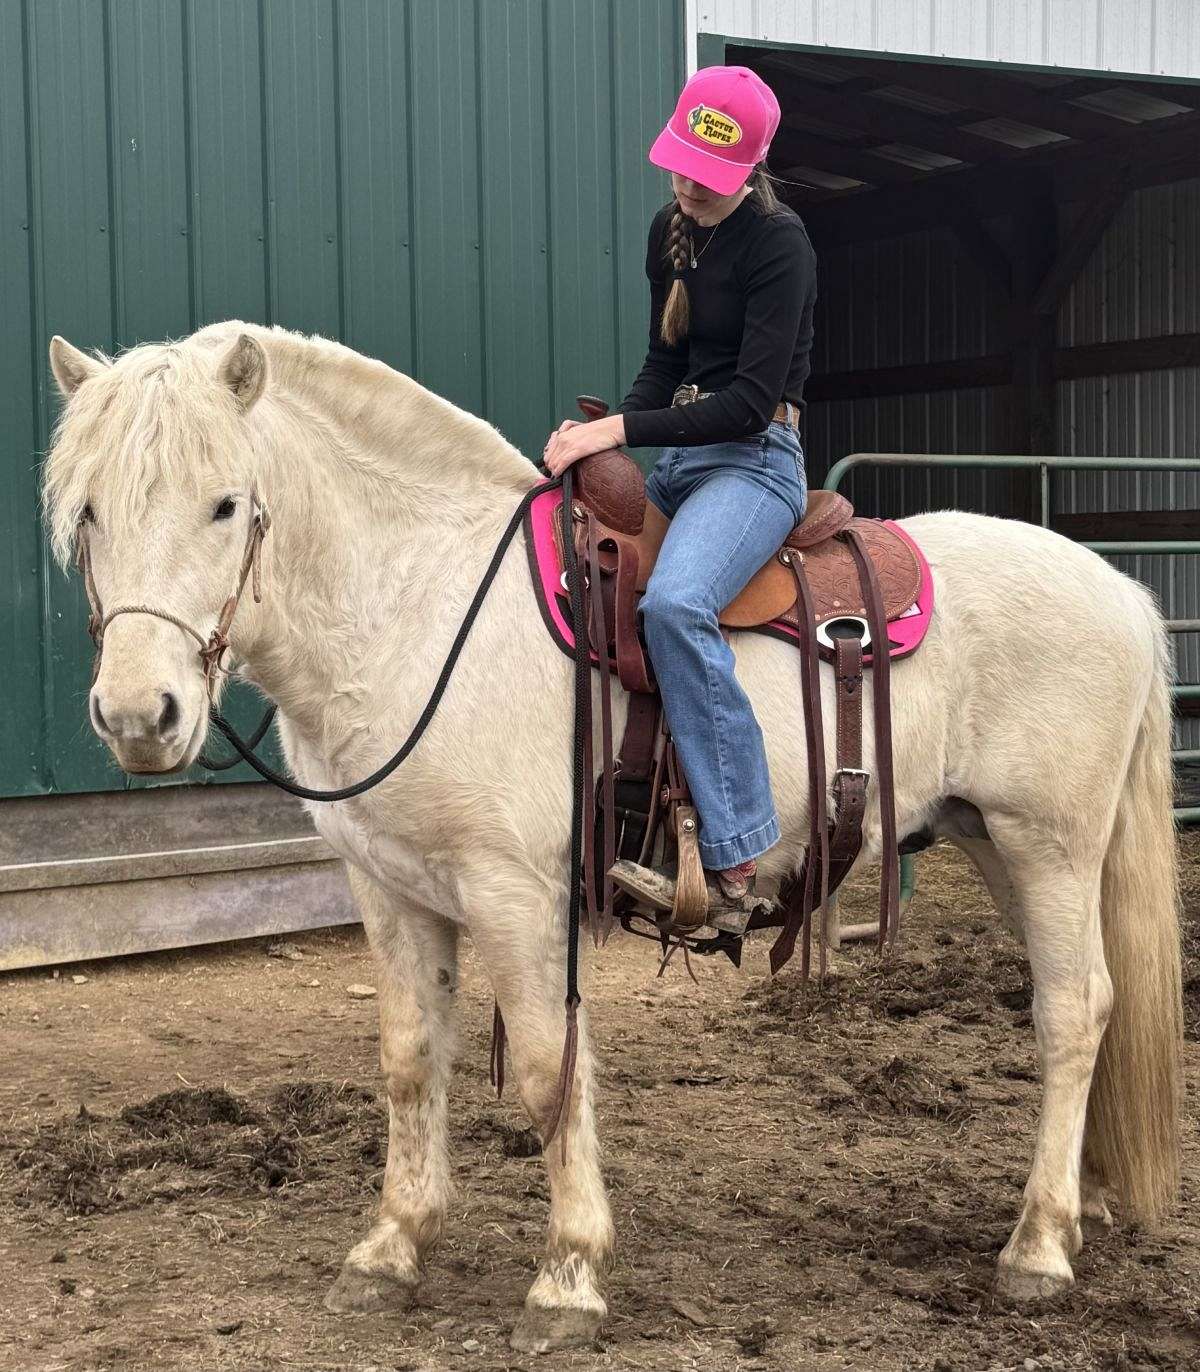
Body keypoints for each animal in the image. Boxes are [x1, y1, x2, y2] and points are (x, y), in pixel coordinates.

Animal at [42, 322, 1181, 1352]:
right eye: (88, 511)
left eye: (226, 503)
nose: (140, 715)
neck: (417, 601)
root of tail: (1122, 589)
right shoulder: (391, 887)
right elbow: (410, 1058)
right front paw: (392, 1246)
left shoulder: (514, 893)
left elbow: (551, 1069)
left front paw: (569, 1276)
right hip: (995, 842)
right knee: (1089, 1003)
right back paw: (1082, 1203)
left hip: (1048, 844)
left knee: (1072, 1011)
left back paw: (1038, 1246)